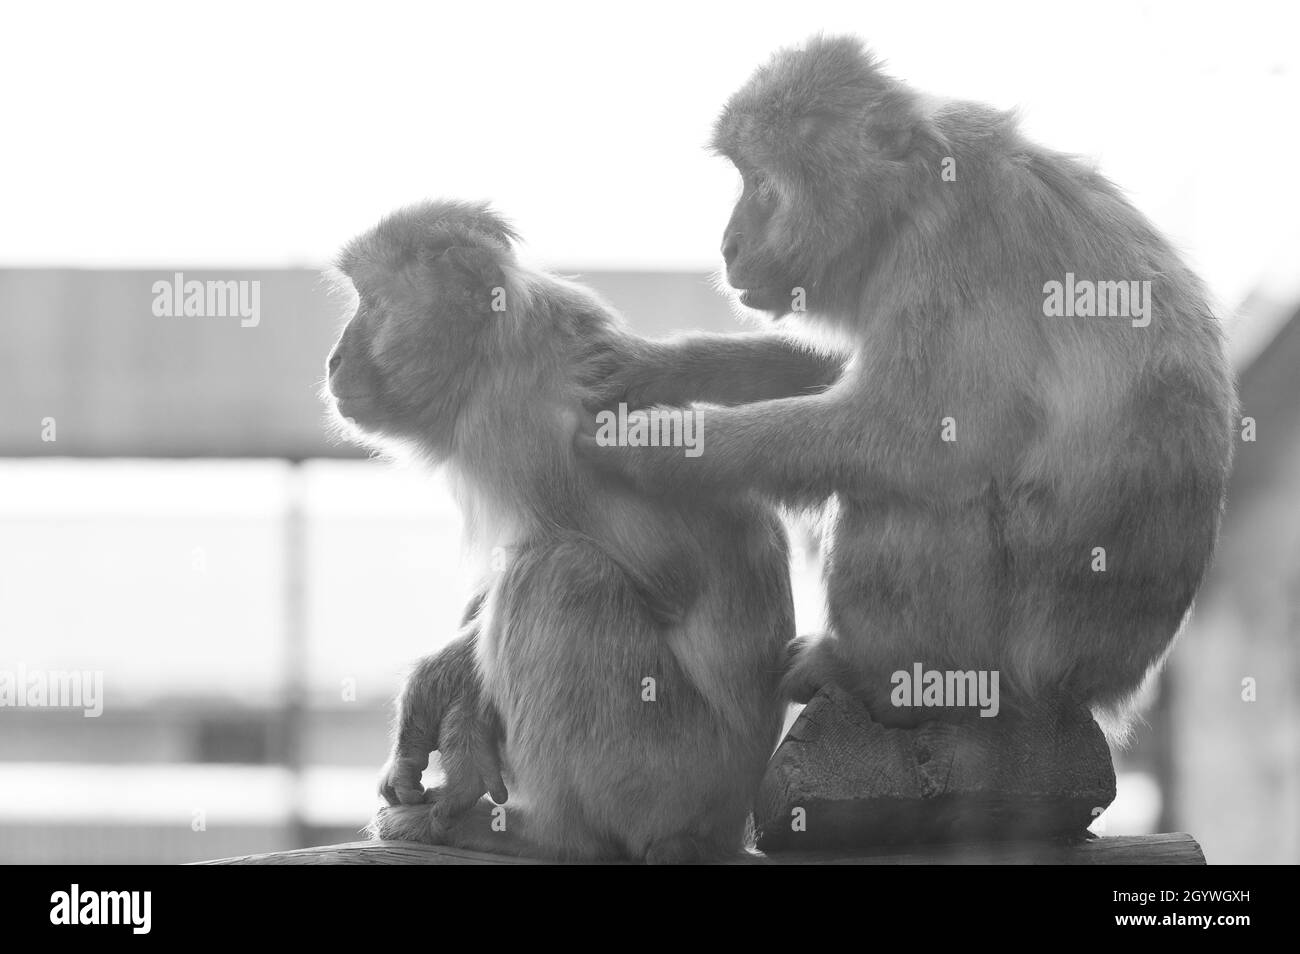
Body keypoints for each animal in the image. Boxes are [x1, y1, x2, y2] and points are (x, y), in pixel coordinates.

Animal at [324, 200, 795, 862]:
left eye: (372, 303)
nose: (334, 359)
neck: (490, 357)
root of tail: (726, 826)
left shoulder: (525, 425)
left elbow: (664, 580)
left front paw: (444, 685)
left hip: (666, 776)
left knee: (561, 573)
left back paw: (545, 832)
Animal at [580, 35, 1237, 736]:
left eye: (762, 185)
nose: (727, 244)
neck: (908, 194)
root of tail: (1100, 686)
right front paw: (653, 365)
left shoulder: (953, 244)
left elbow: (923, 433)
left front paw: (663, 446)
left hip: (1007, 656)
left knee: (917, 487)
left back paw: (881, 676)